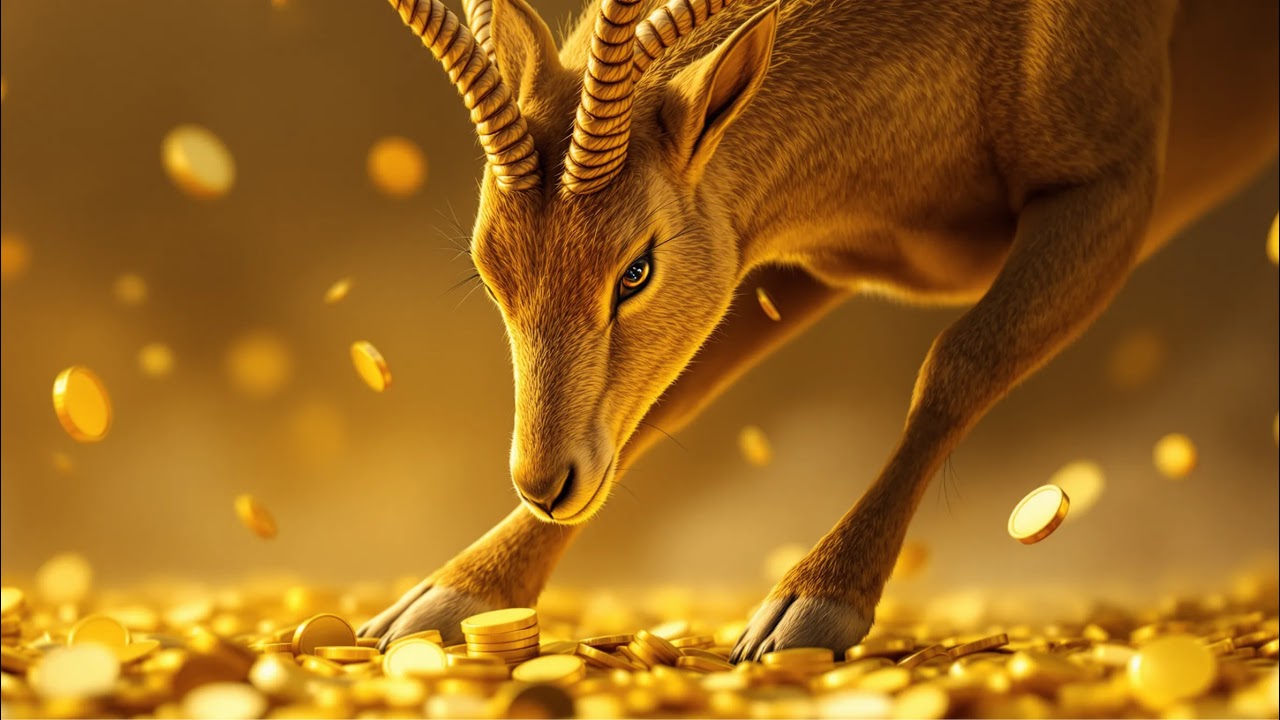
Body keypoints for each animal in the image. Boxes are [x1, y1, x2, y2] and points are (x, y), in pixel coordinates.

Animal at [358, 0, 1278, 658]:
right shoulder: (779, 258)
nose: (544, 483)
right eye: (489, 264)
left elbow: (959, 364)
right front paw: (441, 602)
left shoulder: (1109, 192)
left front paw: (807, 609)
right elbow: (667, 403)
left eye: (636, 269)